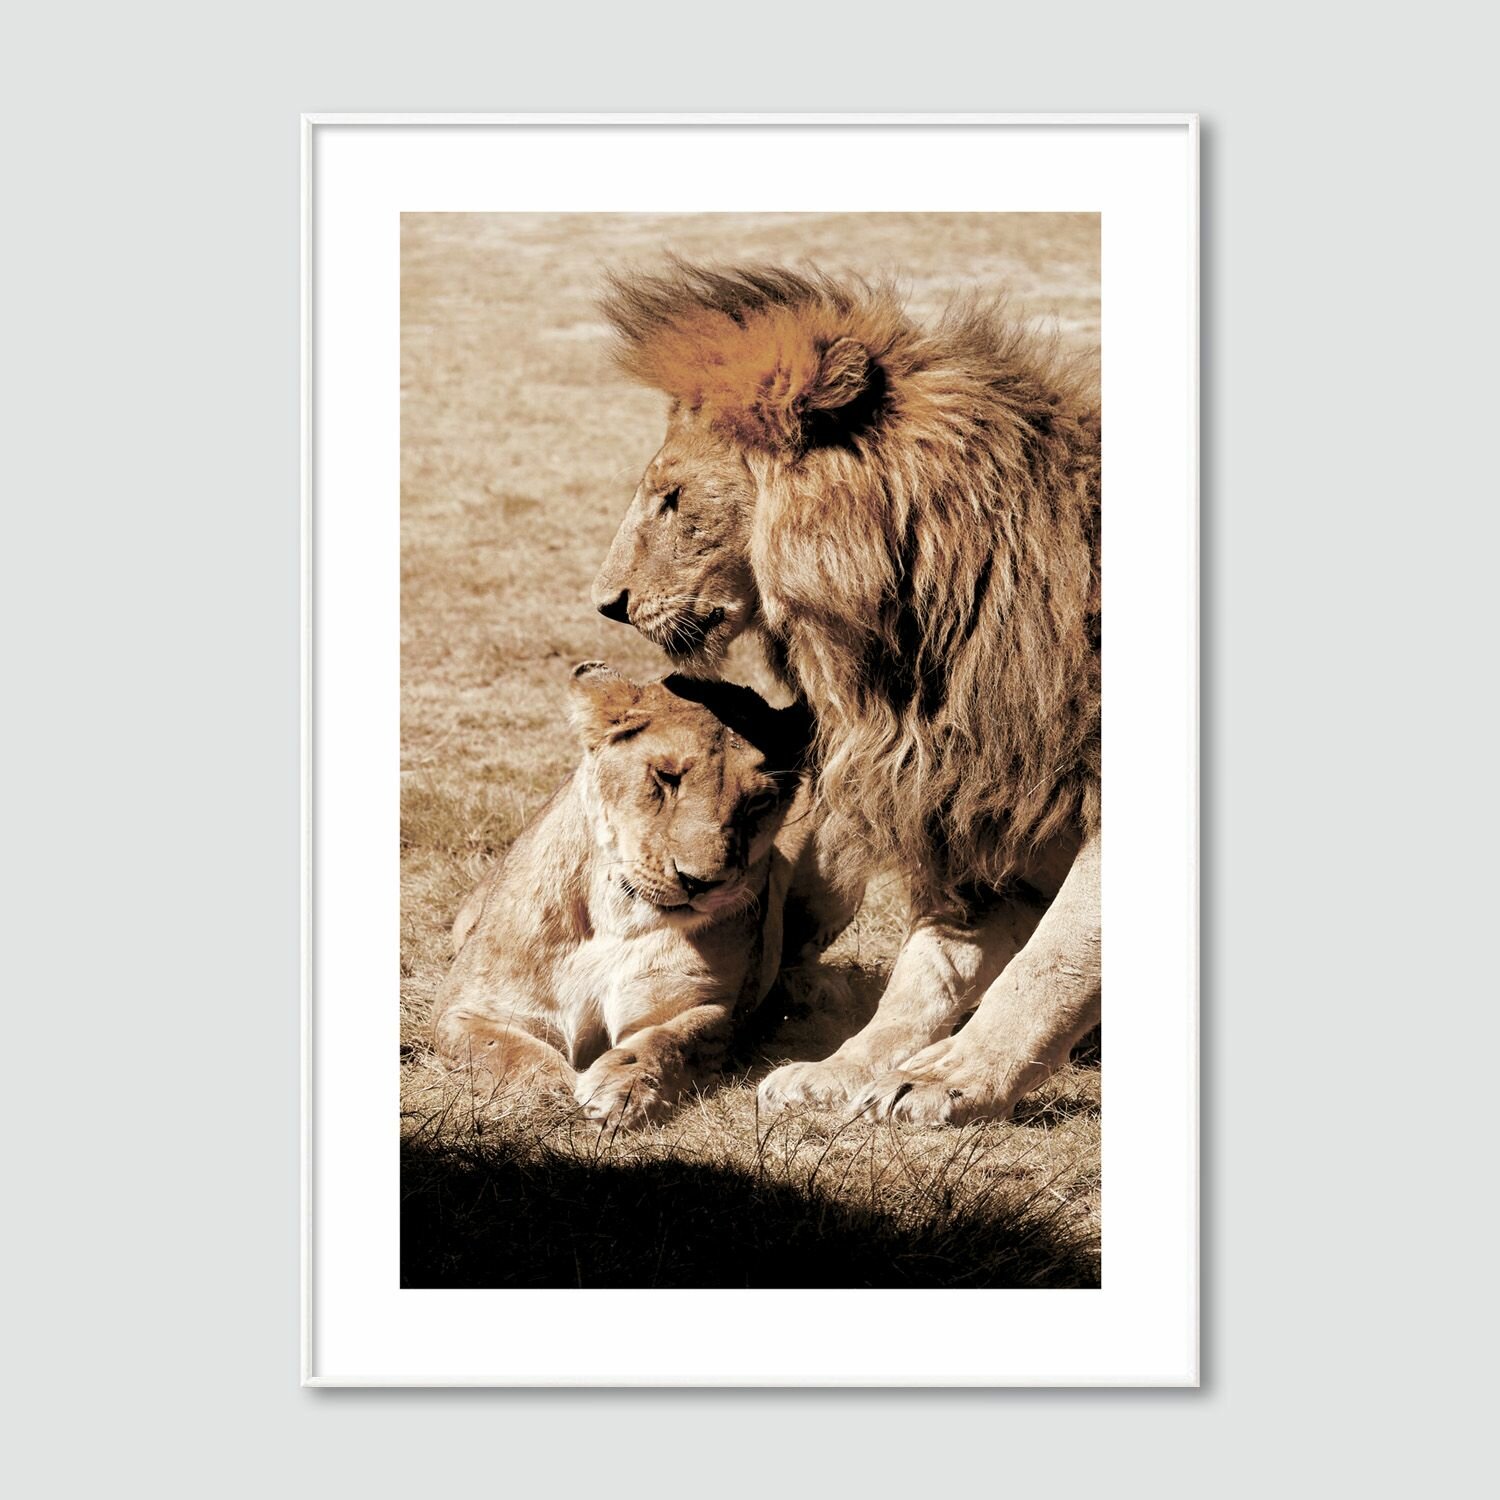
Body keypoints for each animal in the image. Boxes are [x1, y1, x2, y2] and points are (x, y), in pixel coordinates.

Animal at [431, 661, 811, 1129]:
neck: (617, 916)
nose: (701, 882)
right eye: (665, 777)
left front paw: (621, 1090)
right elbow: (502, 1047)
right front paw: (551, 1087)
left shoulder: (714, 1005)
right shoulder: (464, 1008)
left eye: (758, 801)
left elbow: (668, 1040)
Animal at [591, 261, 1101, 1124]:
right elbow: (929, 971)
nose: (607, 603)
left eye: (673, 497)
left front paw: (950, 1078)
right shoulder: (978, 798)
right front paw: (845, 1070)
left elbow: (1052, 961)